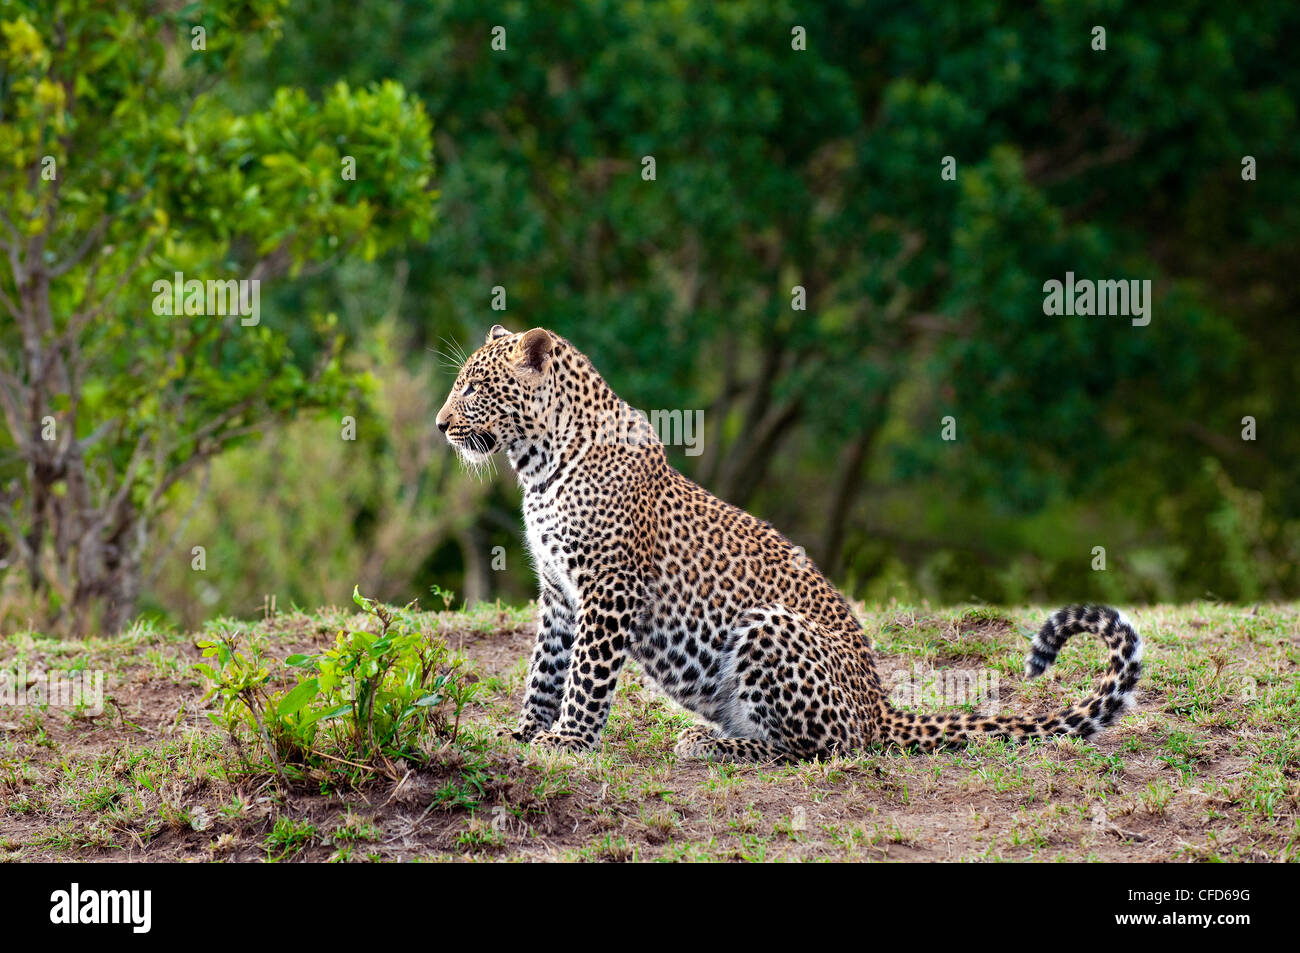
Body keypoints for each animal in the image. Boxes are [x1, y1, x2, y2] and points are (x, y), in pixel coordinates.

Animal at [436, 324, 1144, 762]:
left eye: (473, 388)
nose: (441, 425)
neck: (536, 464)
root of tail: (880, 705)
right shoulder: (559, 592)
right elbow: (545, 668)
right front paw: (527, 732)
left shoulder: (609, 589)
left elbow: (585, 674)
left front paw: (568, 741)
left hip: (769, 628)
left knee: (818, 748)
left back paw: (710, 746)